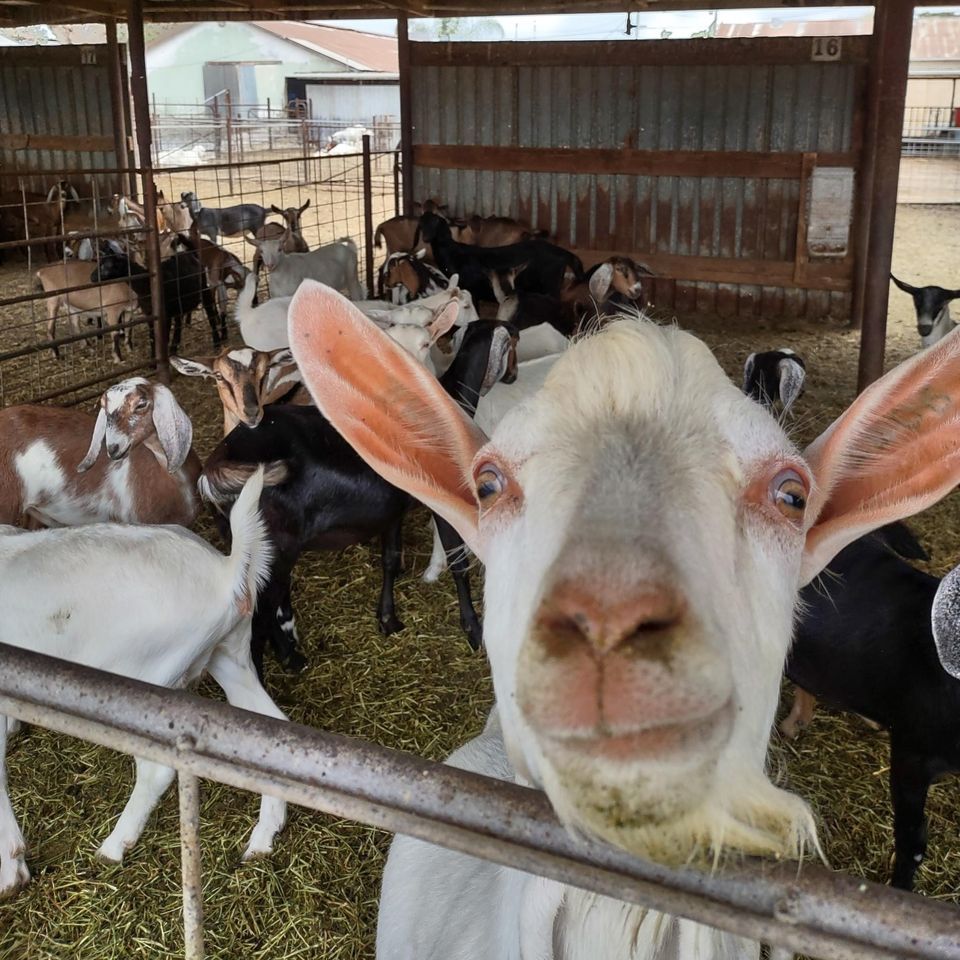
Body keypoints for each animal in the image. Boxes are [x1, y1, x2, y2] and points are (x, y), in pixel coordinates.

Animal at [0, 468, 287, 898]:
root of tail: (226, 571)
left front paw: (11, 869)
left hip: (142, 682)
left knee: (156, 770)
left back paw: (113, 846)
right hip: (229, 653)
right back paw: (263, 838)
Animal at [94, 244, 224, 356]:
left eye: (107, 265)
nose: (92, 277)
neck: (146, 285)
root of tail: (190, 254)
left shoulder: (165, 314)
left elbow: (163, 336)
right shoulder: (150, 313)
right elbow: (152, 337)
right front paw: (153, 359)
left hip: (204, 289)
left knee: (210, 313)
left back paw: (217, 342)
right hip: (178, 303)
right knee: (178, 323)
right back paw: (173, 349)